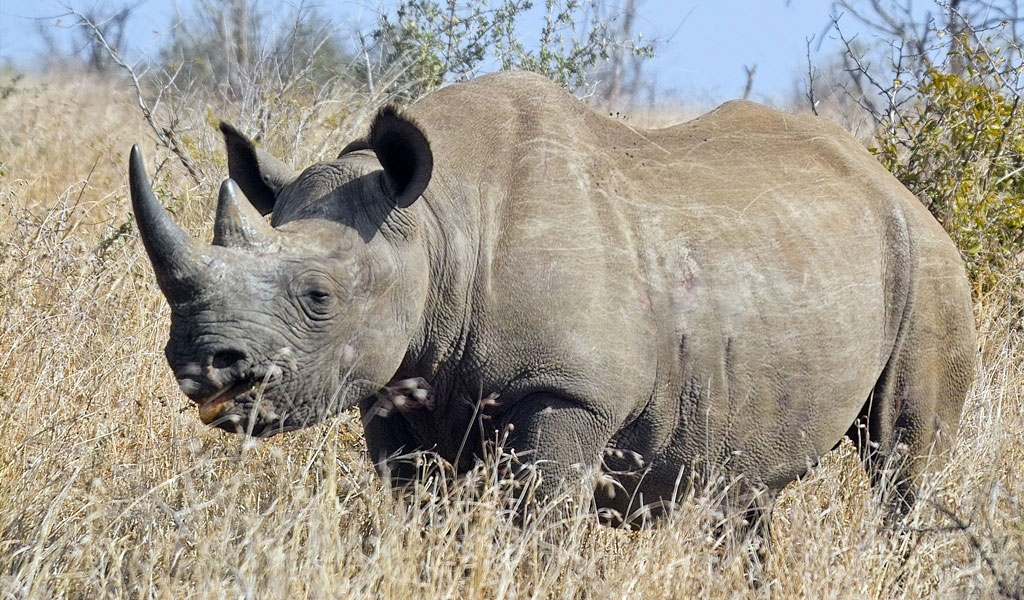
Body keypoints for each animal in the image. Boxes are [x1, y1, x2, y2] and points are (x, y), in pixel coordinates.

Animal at [128, 71, 976, 523]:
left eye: (317, 295)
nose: (201, 364)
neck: (437, 224)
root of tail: (893, 184)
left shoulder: (569, 390)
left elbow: (537, 526)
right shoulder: (399, 387)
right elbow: (421, 512)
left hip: (932, 266)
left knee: (903, 461)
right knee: (741, 488)